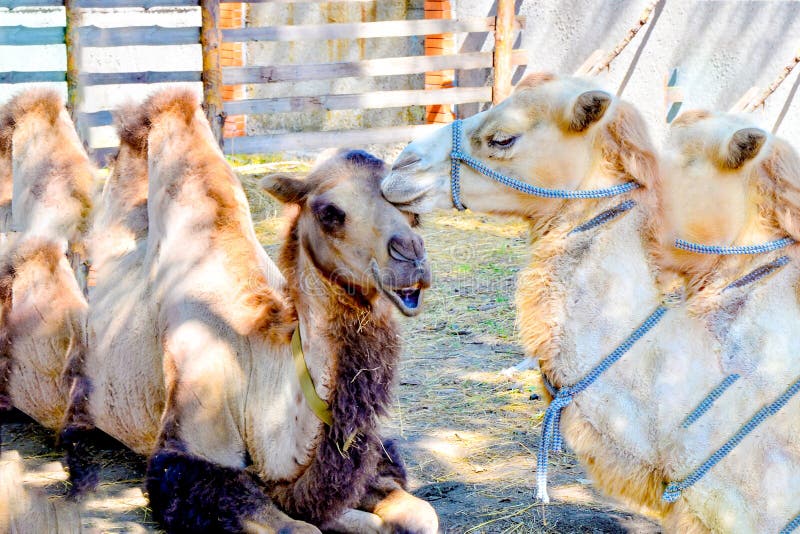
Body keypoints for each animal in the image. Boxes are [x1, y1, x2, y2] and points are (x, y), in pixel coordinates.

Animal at [65, 89, 438, 533]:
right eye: (330, 213)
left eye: (415, 211)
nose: (410, 257)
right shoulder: (188, 452)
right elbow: (301, 527)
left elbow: (419, 514)